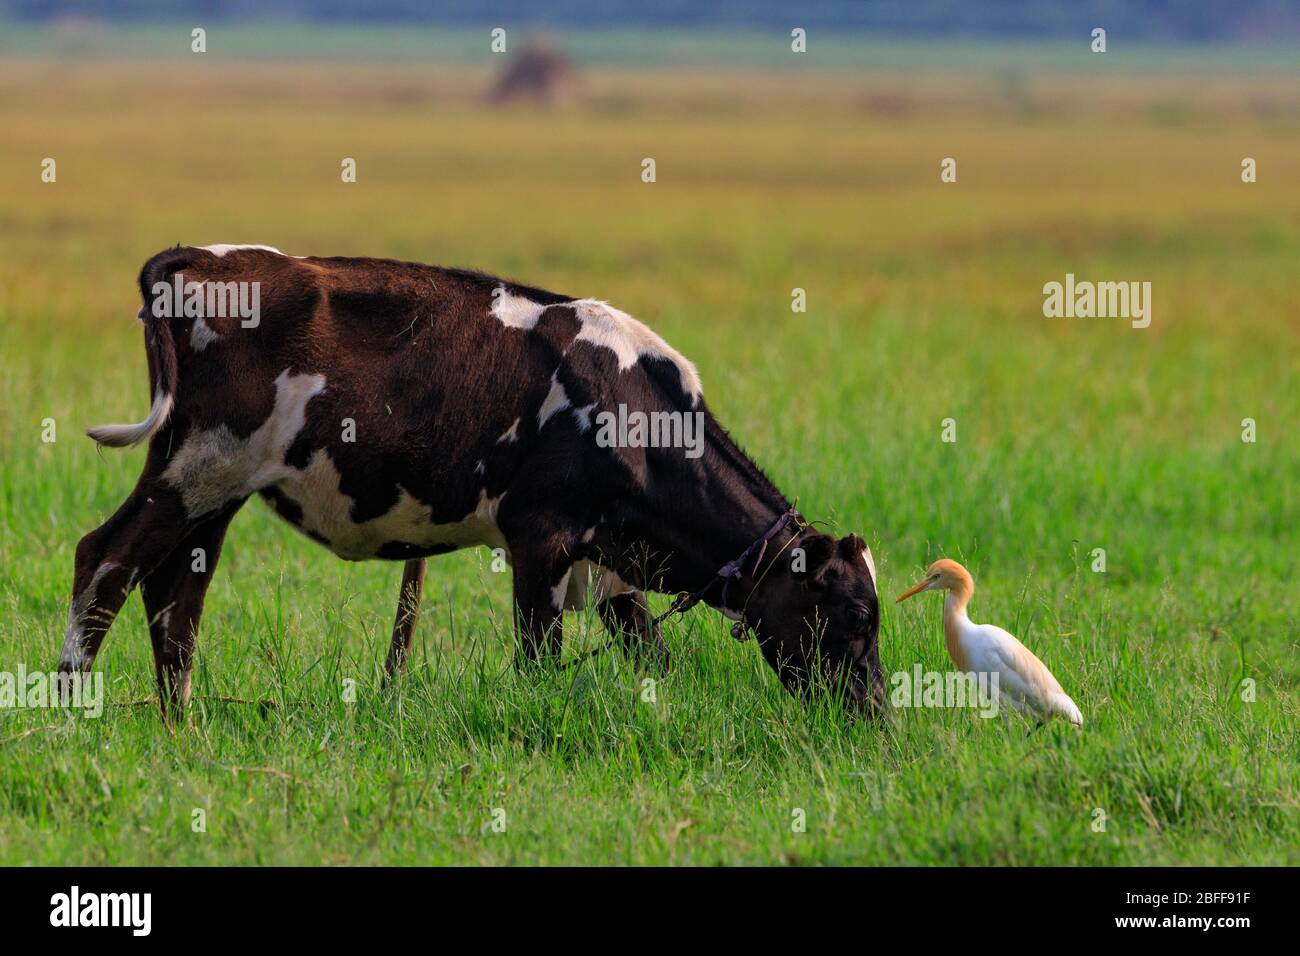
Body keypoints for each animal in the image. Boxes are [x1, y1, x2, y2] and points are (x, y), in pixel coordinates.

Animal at [59, 245, 885, 720]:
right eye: (853, 614)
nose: (876, 714)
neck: (637, 410)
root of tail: (207, 257)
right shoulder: (540, 536)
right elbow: (539, 660)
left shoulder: (609, 562)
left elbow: (653, 655)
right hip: (198, 467)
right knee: (106, 558)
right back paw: (70, 708)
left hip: (213, 490)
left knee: (175, 594)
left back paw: (178, 724)